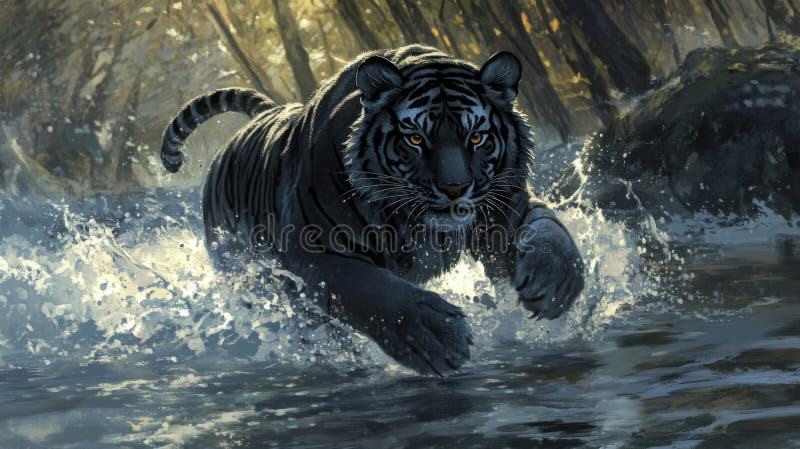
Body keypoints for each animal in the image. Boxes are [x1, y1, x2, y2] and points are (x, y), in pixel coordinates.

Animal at [160, 45, 584, 376]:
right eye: (415, 139)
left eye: (476, 137)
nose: (454, 189)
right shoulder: (315, 252)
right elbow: (373, 293)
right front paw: (436, 338)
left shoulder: (505, 208)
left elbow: (549, 231)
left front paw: (554, 285)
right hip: (257, 281)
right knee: (308, 327)